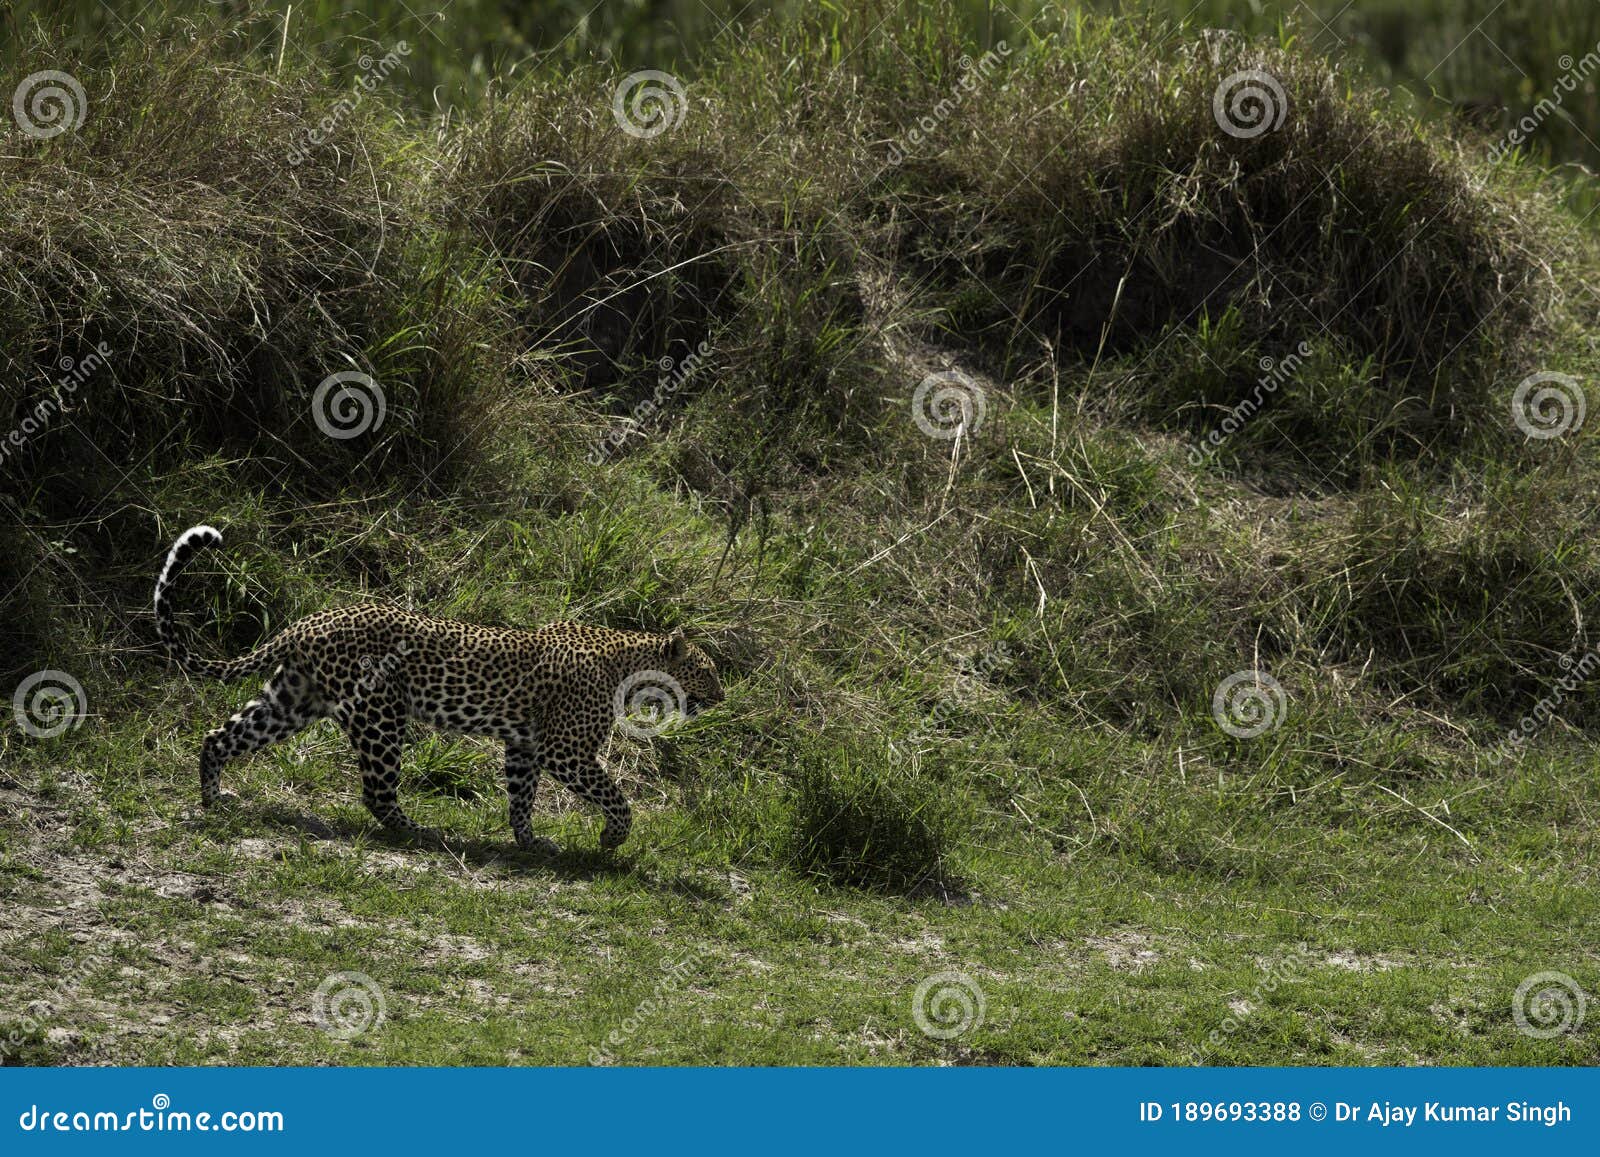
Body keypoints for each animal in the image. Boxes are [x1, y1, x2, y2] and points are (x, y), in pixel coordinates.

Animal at [153, 524, 724, 854]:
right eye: (708, 671)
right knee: (377, 791)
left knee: (218, 737)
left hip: (294, 700)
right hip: (380, 716)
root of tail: (308, 621)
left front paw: (528, 841)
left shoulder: (524, 745)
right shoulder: (566, 751)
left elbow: (521, 796)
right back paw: (417, 831)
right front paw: (610, 839)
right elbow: (617, 798)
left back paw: (214, 800)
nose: (722, 698)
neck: (628, 665)